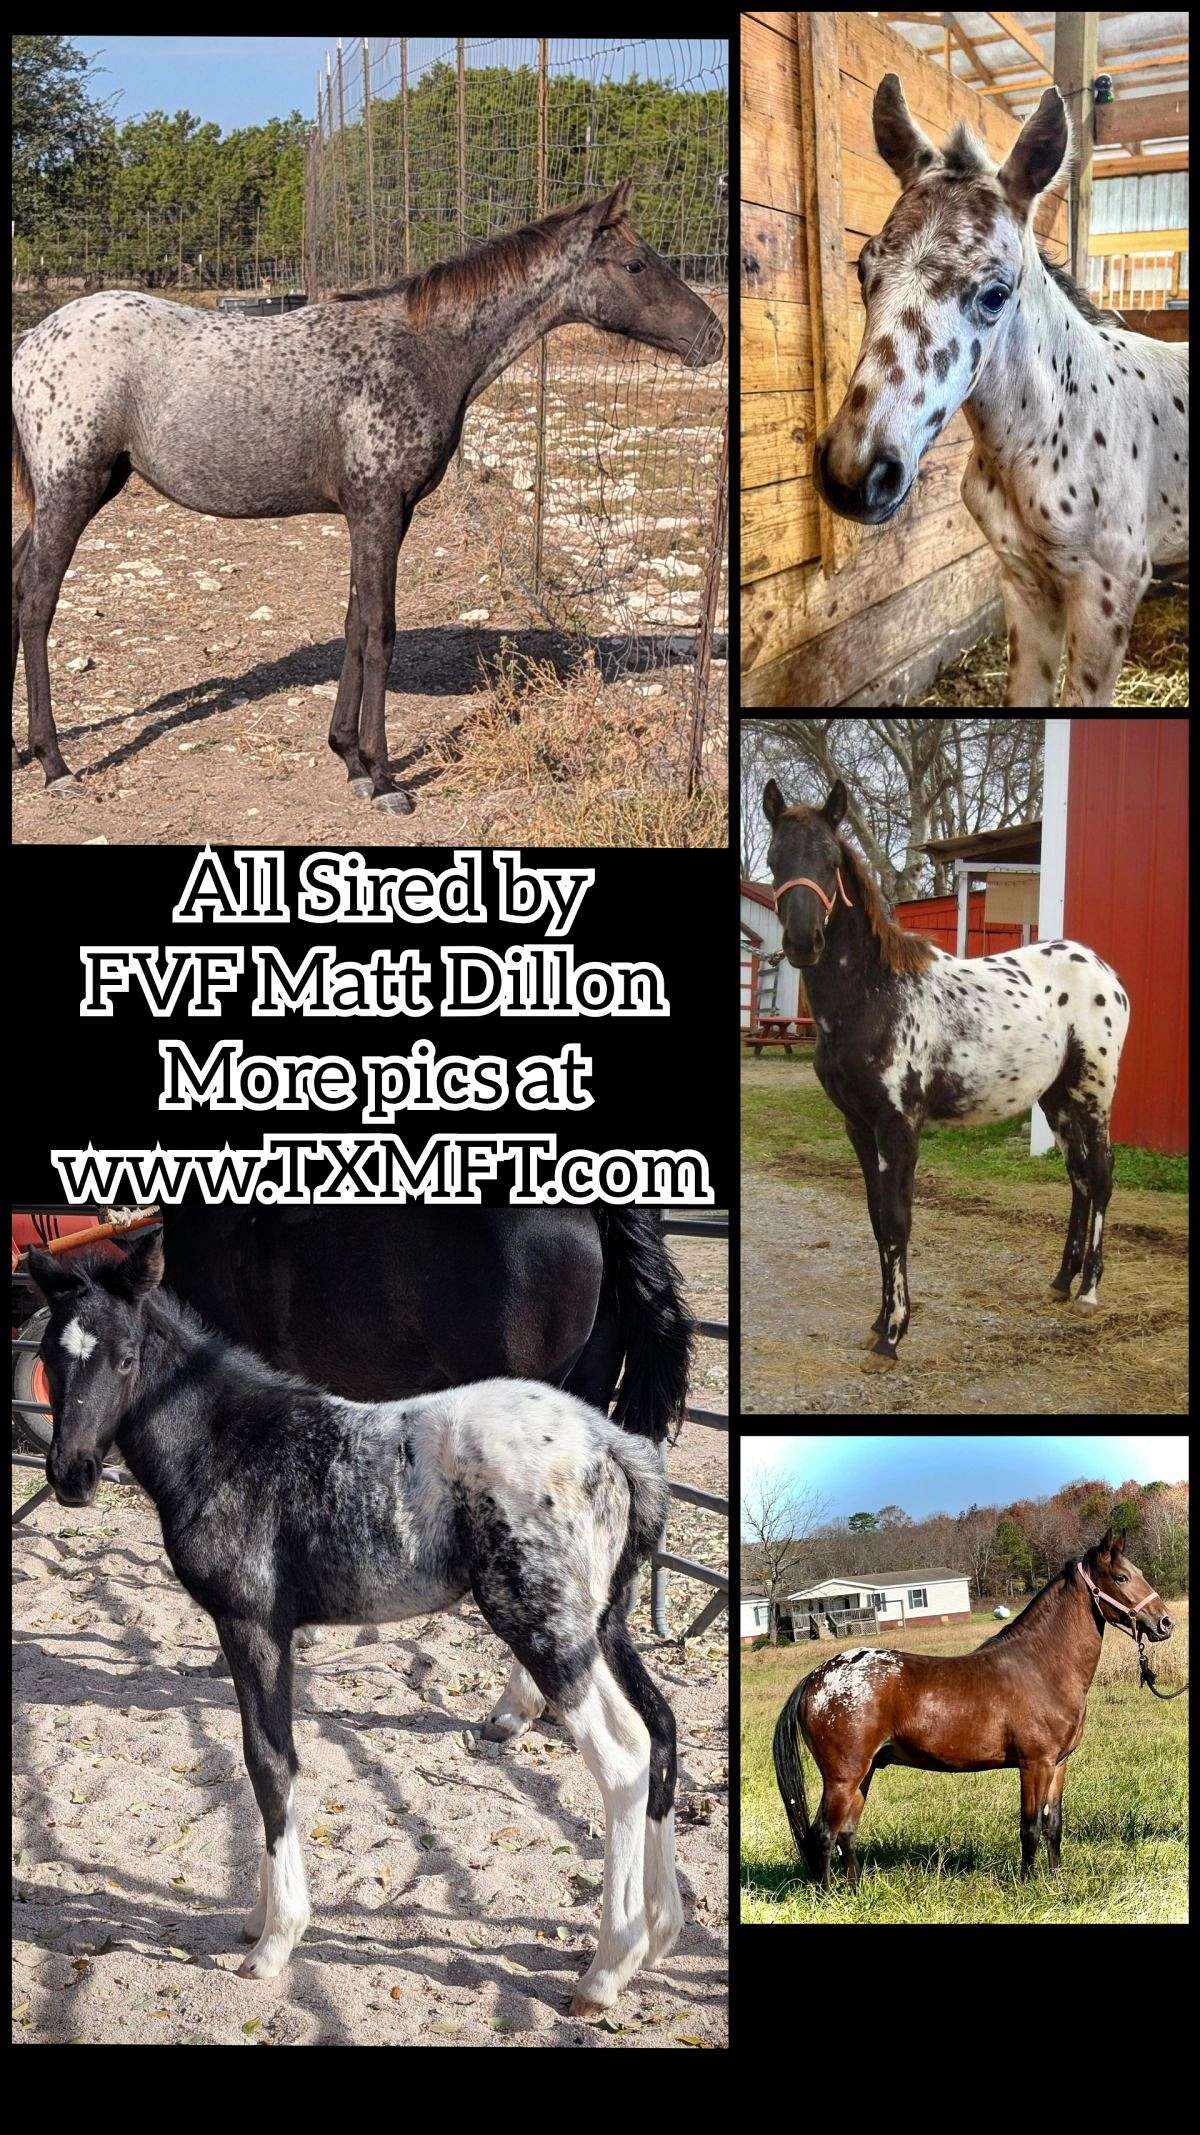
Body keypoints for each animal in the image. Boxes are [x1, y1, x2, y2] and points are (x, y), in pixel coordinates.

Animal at [12, 181, 723, 802]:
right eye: (635, 263)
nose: (711, 337)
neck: (425, 349)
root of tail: (32, 342)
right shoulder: (378, 511)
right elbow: (381, 630)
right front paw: (382, 777)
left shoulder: (381, 516)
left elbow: (355, 624)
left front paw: (348, 756)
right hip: (72, 490)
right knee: (38, 604)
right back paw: (54, 763)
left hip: (79, 491)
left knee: (18, 582)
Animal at [28, 1229, 684, 2014]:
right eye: (49, 1355)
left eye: (126, 1358)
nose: (71, 1476)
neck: (226, 1445)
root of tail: (613, 1444)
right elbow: (268, 1757)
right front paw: (256, 1917)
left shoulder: (252, 1623)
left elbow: (269, 1759)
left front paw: (276, 1938)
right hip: (599, 1623)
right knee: (661, 1728)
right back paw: (661, 1932)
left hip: (546, 1627)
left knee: (623, 1758)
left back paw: (607, 1968)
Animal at [764, 777, 1129, 1362]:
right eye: (775, 858)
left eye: (830, 858)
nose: (802, 941)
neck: (873, 996)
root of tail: (1101, 969)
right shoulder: (858, 1126)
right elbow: (876, 1222)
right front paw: (879, 1322)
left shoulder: (899, 1127)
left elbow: (897, 1222)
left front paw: (892, 1337)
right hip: (1055, 1099)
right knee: (1077, 1177)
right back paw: (1060, 1282)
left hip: (1093, 1094)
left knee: (1100, 1176)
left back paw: (1089, 1291)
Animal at [773, 1530, 1176, 1886]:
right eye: (1121, 1577)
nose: (1165, 1622)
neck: (1041, 1665)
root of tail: (817, 1677)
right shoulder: (1035, 1764)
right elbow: (1030, 1827)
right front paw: (1027, 1885)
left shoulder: (1058, 1764)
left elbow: (1053, 1826)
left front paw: (1056, 1881)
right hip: (843, 1777)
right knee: (824, 1834)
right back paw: (828, 1897)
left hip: (864, 1773)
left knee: (846, 1833)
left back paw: (856, 1891)